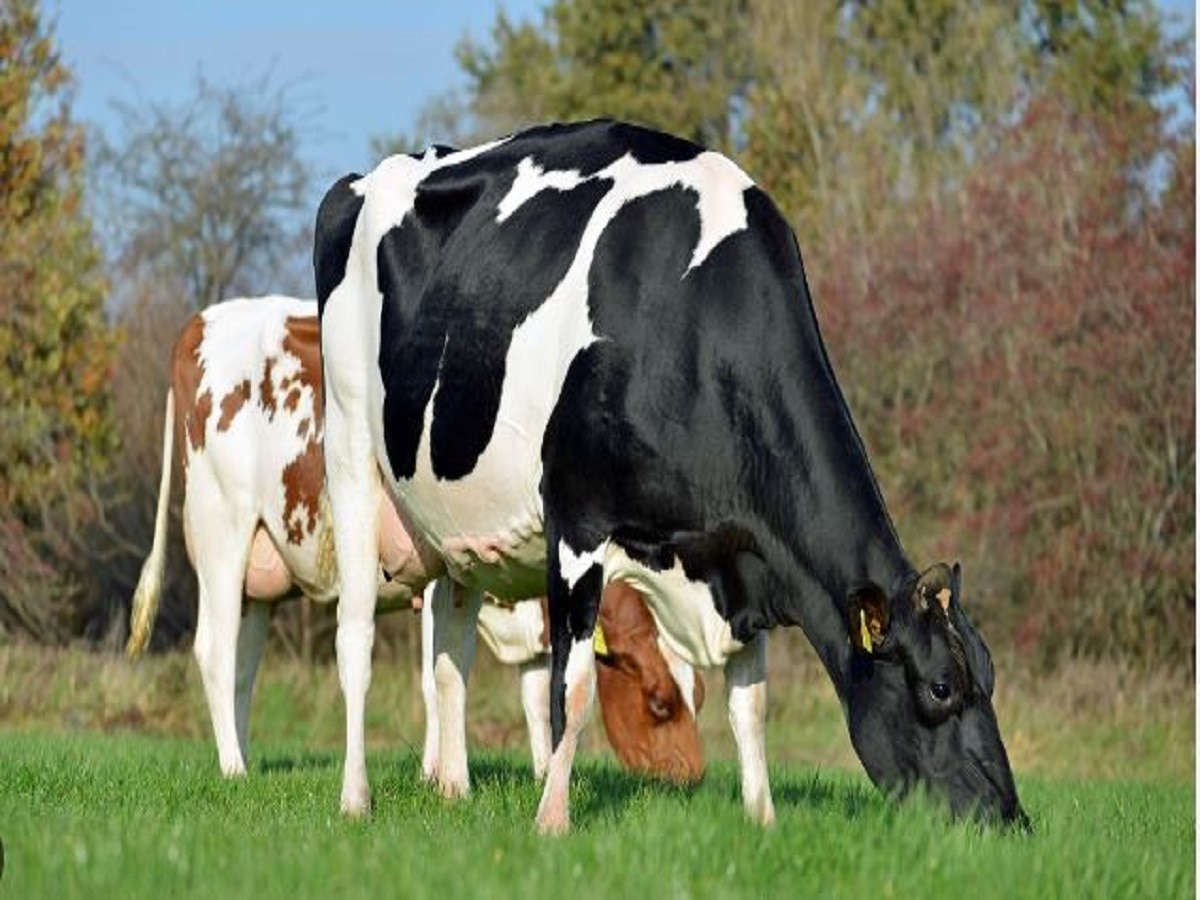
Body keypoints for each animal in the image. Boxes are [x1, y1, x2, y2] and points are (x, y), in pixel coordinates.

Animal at [125, 295, 705, 793]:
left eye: (698, 693)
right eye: (659, 703)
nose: (692, 778)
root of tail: (207, 319)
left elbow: (536, 690)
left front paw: (544, 773)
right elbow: (434, 678)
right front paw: (434, 773)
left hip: (258, 576)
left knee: (243, 667)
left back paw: (243, 764)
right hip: (222, 529)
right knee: (216, 652)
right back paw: (232, 769)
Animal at [314, 119, 1027, 833]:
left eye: (989, 675)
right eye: (940, 687)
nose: (1010, 819)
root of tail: (372, 174)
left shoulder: (746, 553)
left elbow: (750, 706)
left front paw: (762, 821)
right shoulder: (577, 520)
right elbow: (572, 690)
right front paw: (552, 821)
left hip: (454, 525)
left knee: (450, 651)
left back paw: (454, 790)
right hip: (350, 451)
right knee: (356, 639)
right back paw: (354, 800)